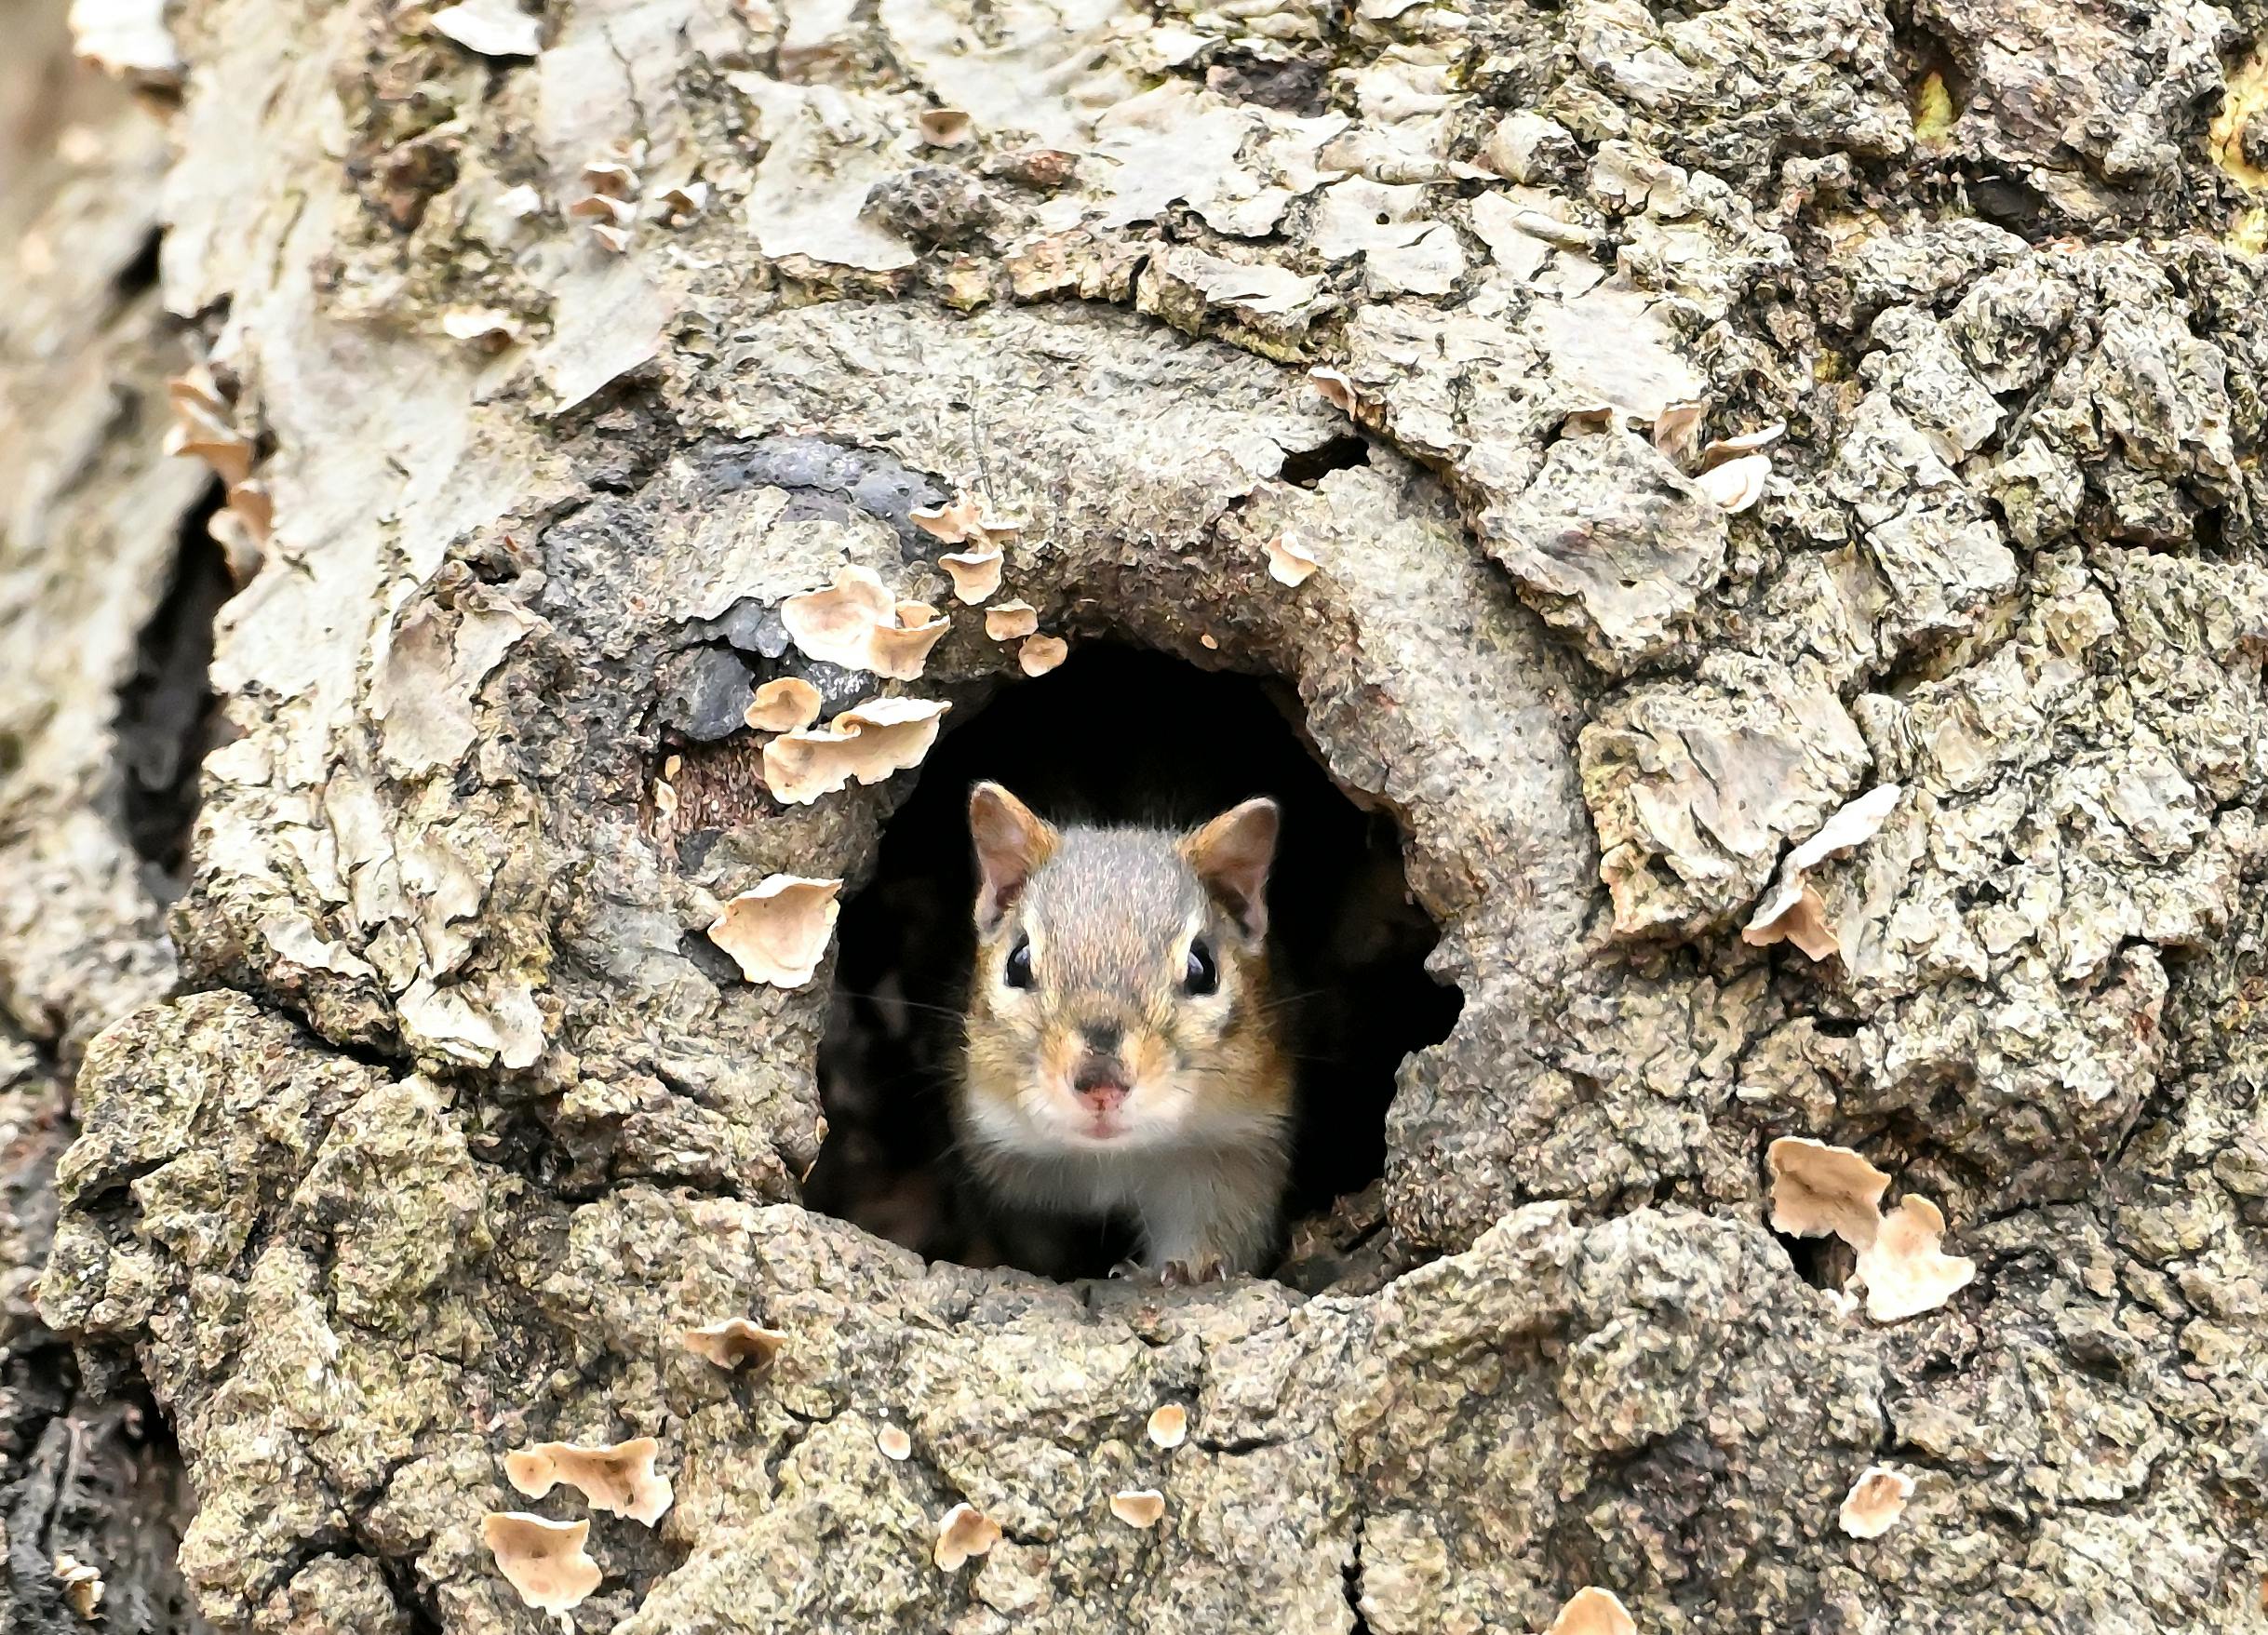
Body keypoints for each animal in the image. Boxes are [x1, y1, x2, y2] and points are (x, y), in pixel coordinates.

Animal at [952, 781, 1294, 1279]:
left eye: (1203, 967)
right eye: (1017, 961)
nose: (1102, 1083)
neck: (1109, 1160)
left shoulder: (1231, 1162)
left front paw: (1189, 1270)